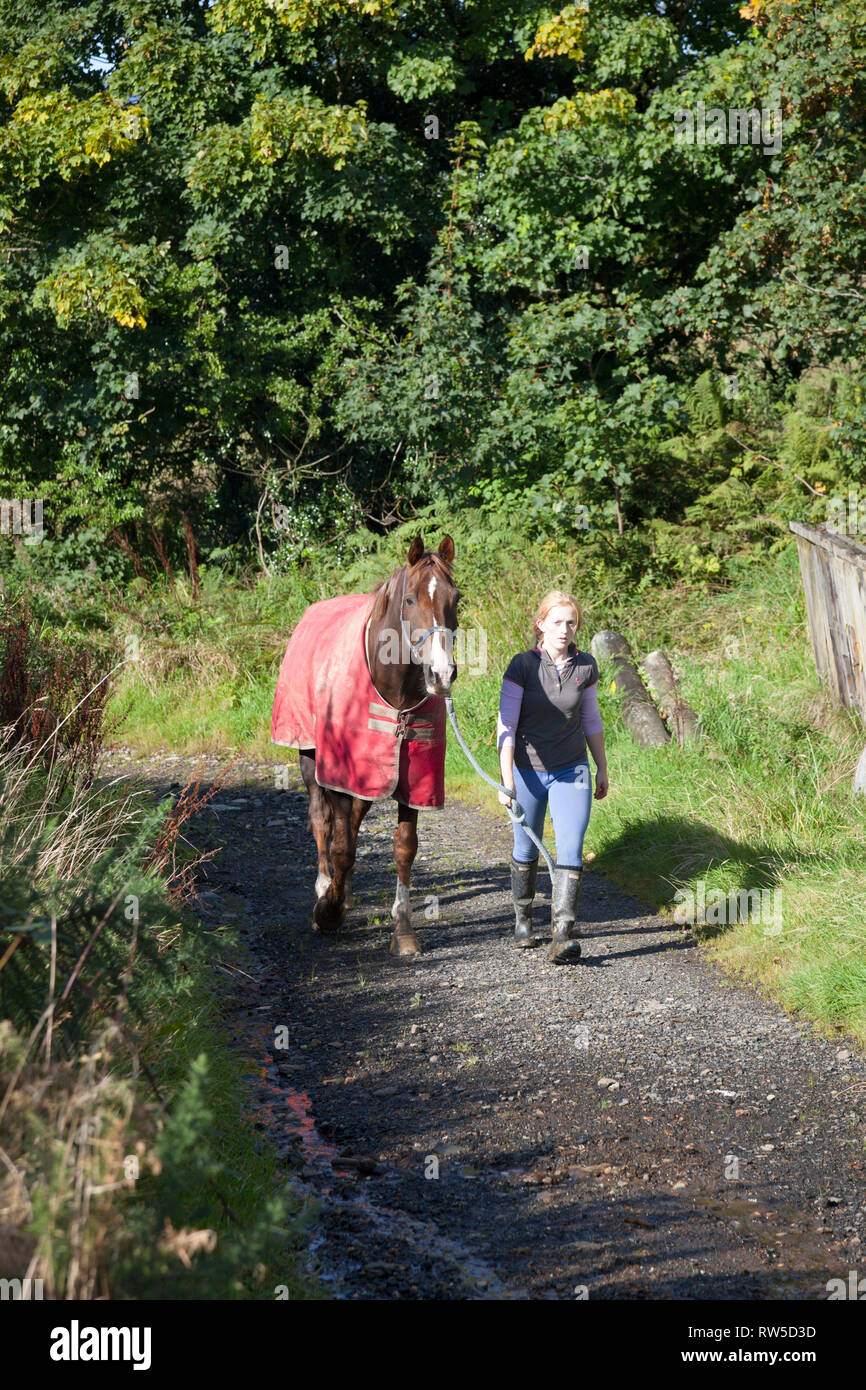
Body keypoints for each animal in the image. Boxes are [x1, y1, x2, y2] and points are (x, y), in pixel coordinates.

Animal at [274, 534, 460, 957]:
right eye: (410, 599)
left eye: (456, 598)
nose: (442, 674)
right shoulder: (341, 771)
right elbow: (341, 846)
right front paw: (327, 911)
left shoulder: (414, 780)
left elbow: (404, 847)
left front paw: (403, 930)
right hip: (310, 757)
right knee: (322, 820)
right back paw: (326, 887)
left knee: (353, 822)